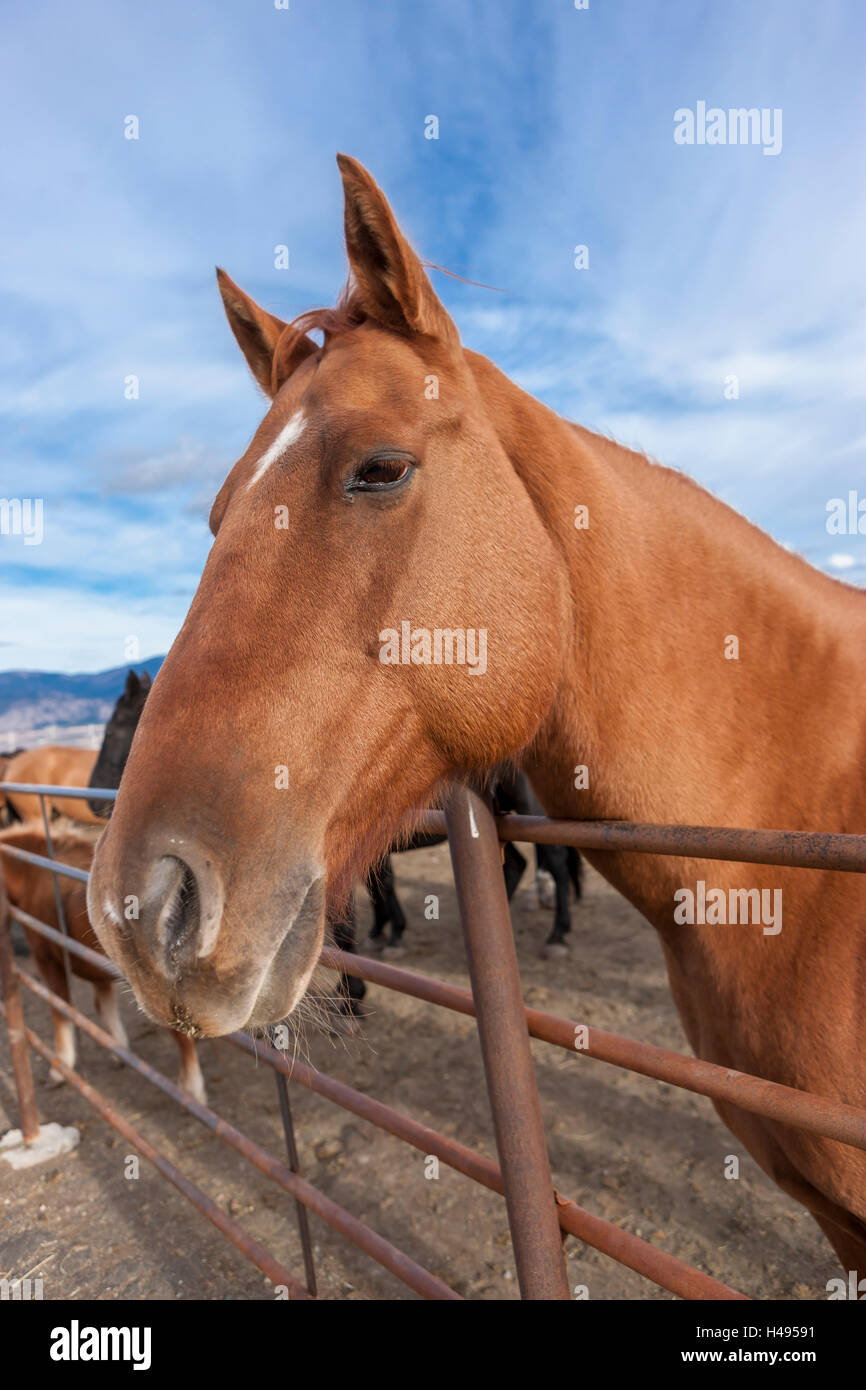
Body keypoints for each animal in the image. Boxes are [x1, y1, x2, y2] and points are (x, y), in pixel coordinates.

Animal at [0, 826, 205, 1100]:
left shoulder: (47, 957)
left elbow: (60, 1007)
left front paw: (60, 1067)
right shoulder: (94, 968)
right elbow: (105, 1006)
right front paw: (119, 1050)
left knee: (183, 1038)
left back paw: (191, 1092)